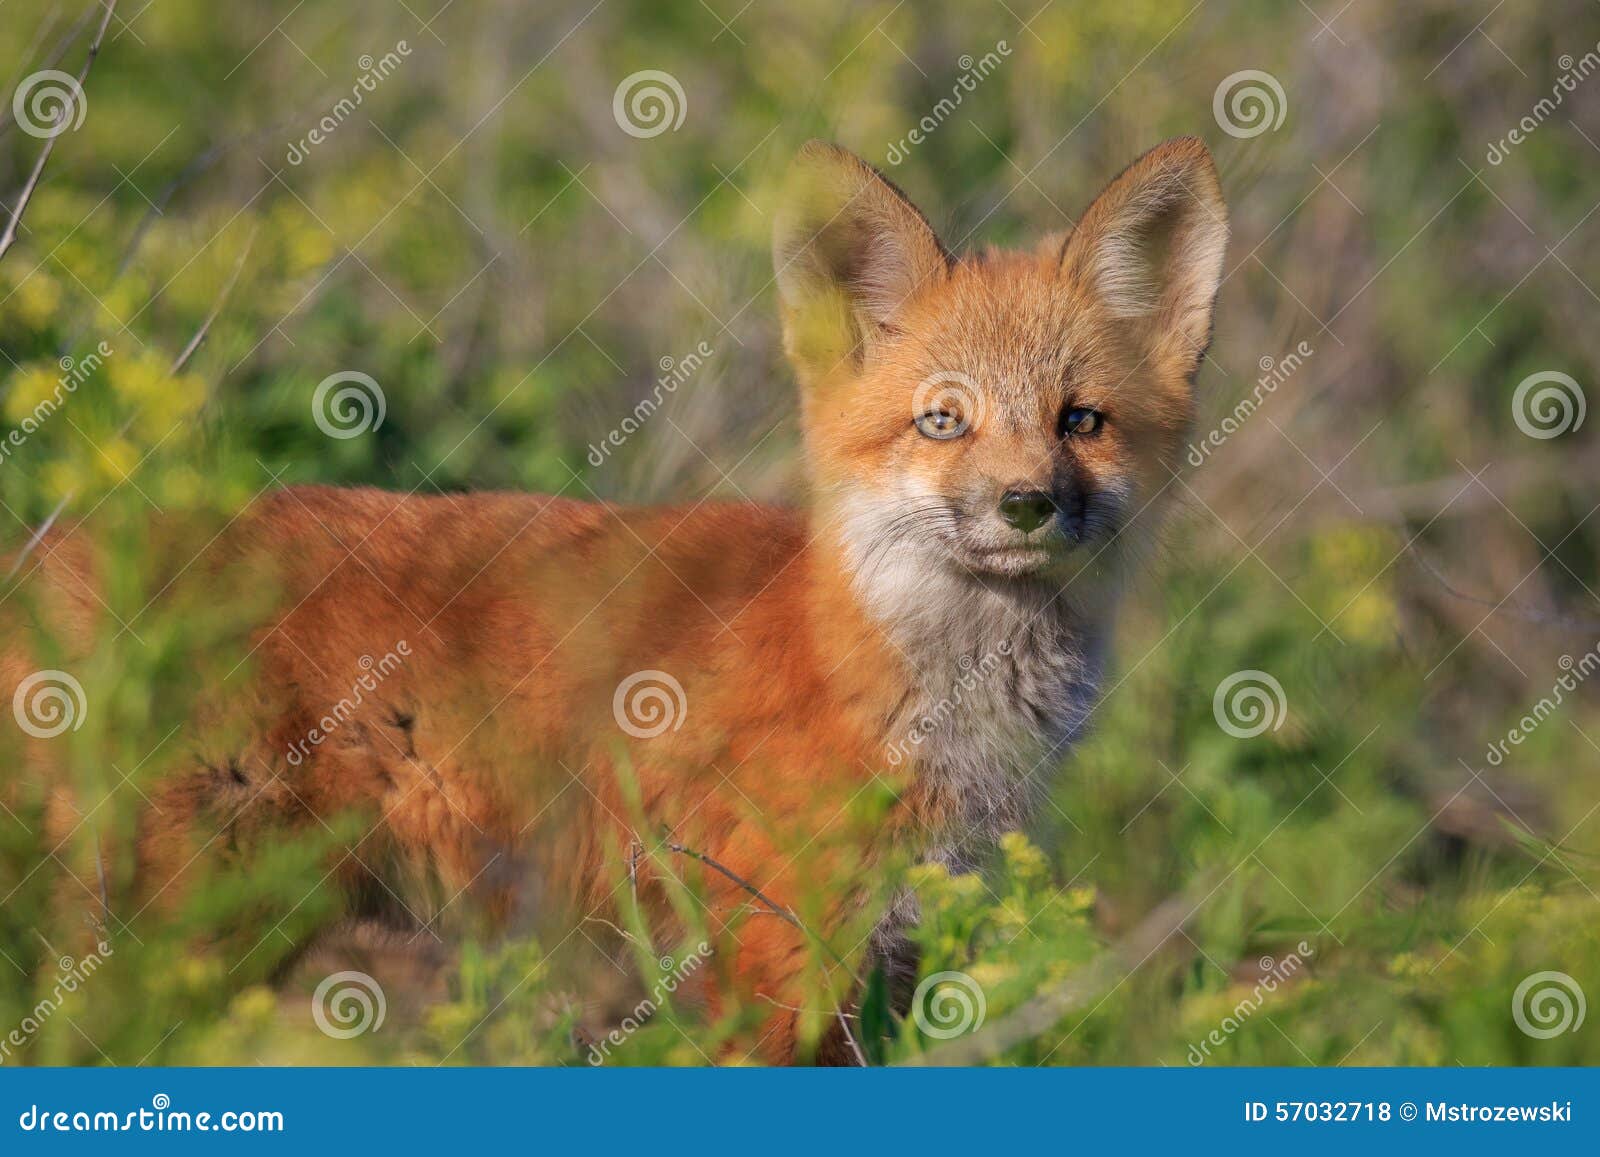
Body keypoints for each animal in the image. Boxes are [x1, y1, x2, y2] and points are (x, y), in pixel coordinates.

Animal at [4, 135, 1227, 1063]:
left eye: (1080, 421)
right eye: (942, 421)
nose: (1027, 504)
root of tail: (54, 541)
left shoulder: (897, 942)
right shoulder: (772, 953)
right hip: (184, 937)